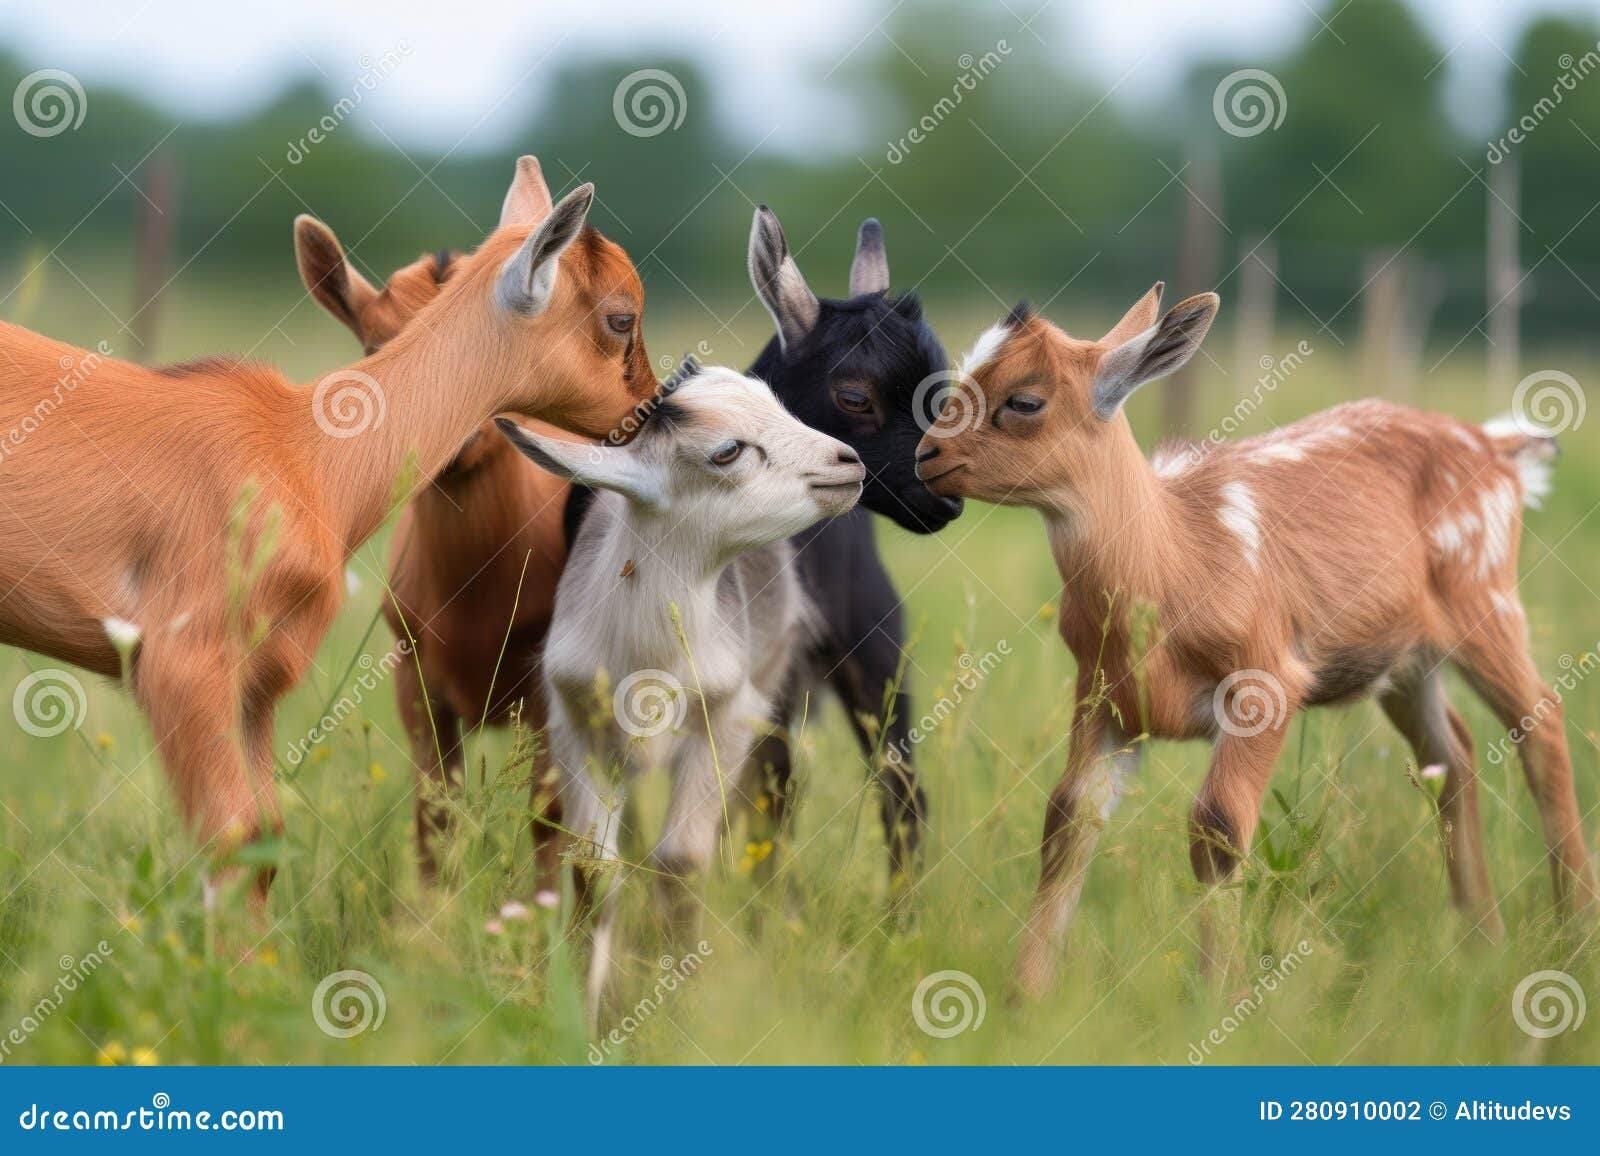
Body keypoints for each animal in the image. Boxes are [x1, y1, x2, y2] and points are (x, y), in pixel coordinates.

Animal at [0, 160, 654, 902]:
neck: (307, 456)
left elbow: (263, 839)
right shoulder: (180, 662)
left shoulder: (257, 683)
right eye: (621, 317)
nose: (654, 405)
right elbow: (230, 840)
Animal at [497, 359, 865, 1017]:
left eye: (773, 402)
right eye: (728, 450)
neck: (648, 658)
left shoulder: (725, 718)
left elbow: (682, 859)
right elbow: (594, 867)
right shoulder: (576, 727)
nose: (847, 461)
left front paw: (678, 1001)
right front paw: (592, 1008)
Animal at [914, 284, 1598, 996]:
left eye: (1024, 400)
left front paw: (1218, 993)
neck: (1176, 563)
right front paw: (1026, 992)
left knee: (1542, 721)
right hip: (1403, 659)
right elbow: (1068, 817)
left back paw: (1572, 936)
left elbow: (1215, 823)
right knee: (1452, 755)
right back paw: (1482, 942)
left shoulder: (1267, 674)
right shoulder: (1104, 693)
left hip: (1485, 595)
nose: (924, 456)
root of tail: (1498, 446)